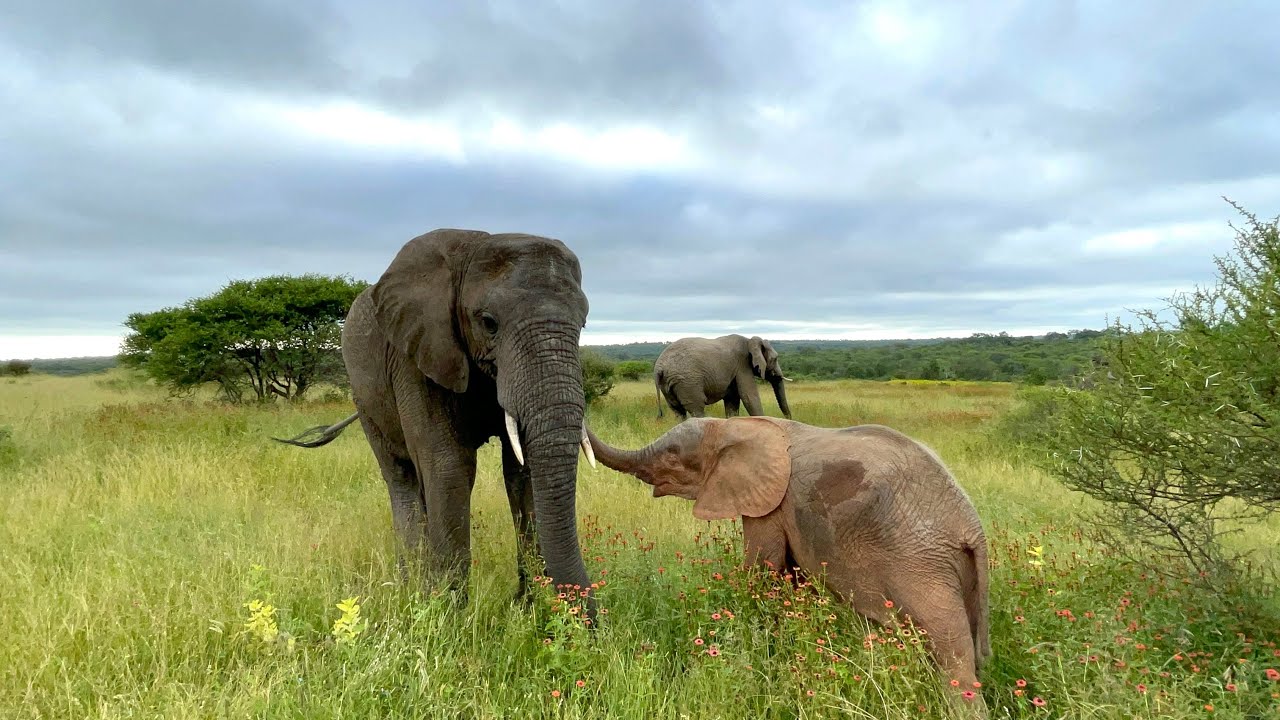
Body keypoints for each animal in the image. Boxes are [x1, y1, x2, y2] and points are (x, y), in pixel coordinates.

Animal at [273, 228, 600, 615]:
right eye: (489, 323)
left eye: (582, 323)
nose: (590, 616)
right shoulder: (416, 355)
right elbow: (449, 466)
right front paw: (450, 616)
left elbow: (523, 469)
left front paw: (528, 611)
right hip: (364, 397)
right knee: (402, 478)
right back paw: (411, 587)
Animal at [584, 416, 991, 710]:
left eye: (672, 454)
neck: (735, 426)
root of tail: (972, 530)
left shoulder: (770, 502)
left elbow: (761, 572)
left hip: (921, 564)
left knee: (952, 651)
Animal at [653, 334, 793, 420]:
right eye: (775, 359)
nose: (790, 419)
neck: (749, 340)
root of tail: (659, 368)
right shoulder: (743, 364)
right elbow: (749, 397)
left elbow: (732, 400)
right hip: (687, 381)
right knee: (696, 408)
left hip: (668, 384)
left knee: (677, 411)